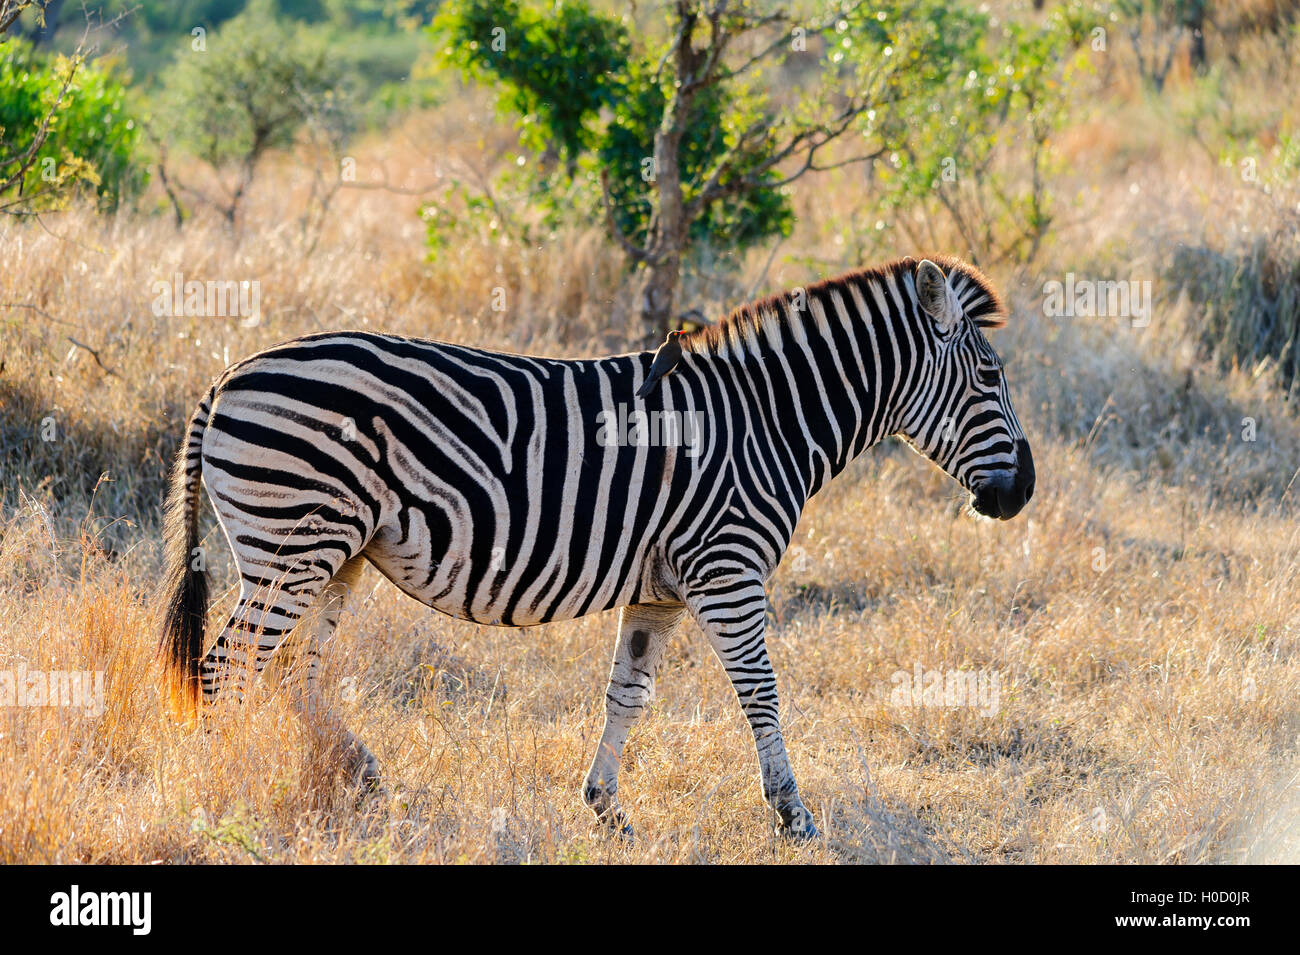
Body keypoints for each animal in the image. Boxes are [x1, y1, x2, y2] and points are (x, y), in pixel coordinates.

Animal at [158, 254, 1034, 838]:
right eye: (991, 378)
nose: (1022, 491)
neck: (767, 421)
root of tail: (229, 374)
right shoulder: (727, 570)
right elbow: (761, 690)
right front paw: (792, 813)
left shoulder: (661, 590)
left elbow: (627, 695)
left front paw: (607, 808)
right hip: (293, 546)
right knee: (228, 668)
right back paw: (220, 791)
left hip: (335, 556)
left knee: (291, 674)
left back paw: (359, 777)